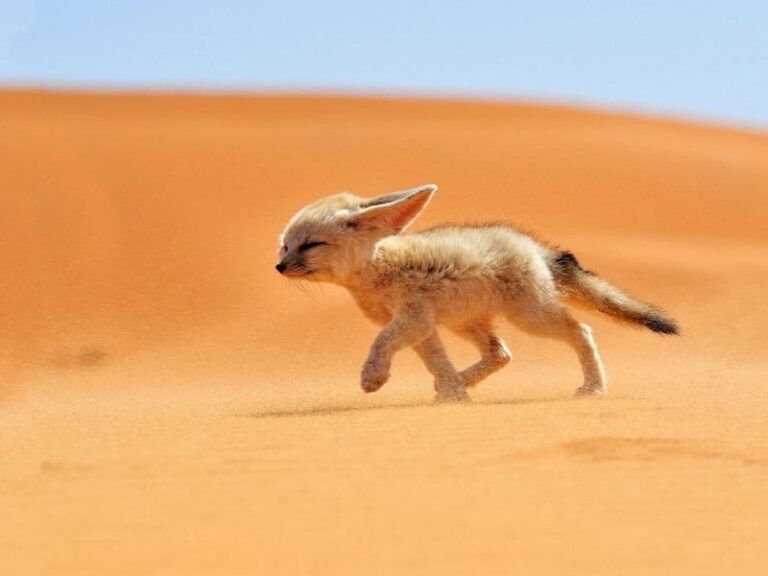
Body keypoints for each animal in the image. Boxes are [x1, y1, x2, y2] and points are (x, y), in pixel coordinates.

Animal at [276, 184, 679, 403]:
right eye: (285, 246)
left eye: (311, 245)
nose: (279, 267)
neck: (377, 268)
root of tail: (535, 247)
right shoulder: (422, 326)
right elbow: (436, 361)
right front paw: (454, 395)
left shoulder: (412, 318)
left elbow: (380, 342)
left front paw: (373, 377)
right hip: (466, 323)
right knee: (501, 353)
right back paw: (460, 382)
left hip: (531, 318)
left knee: (581, 331)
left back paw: (594, 388)